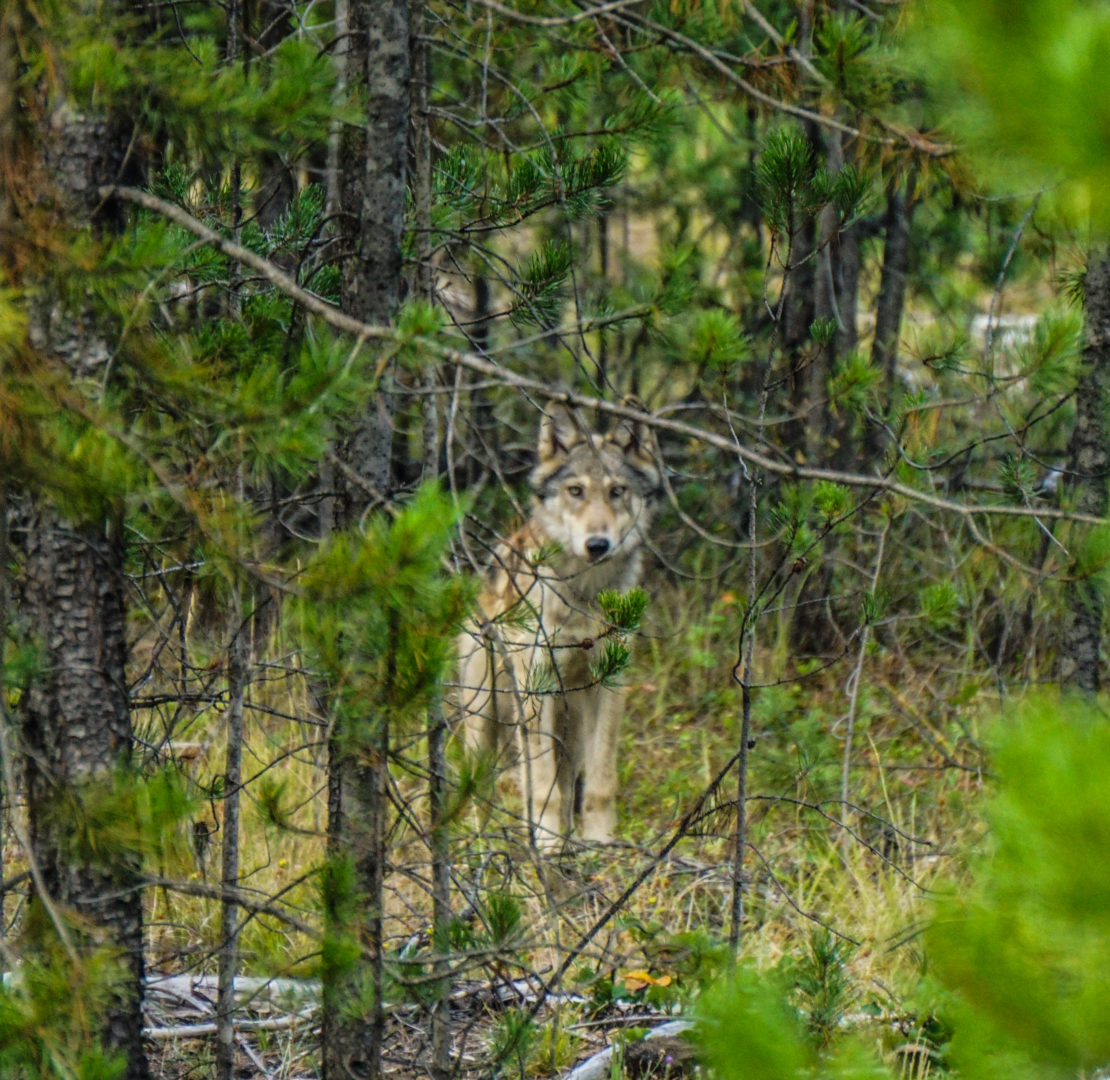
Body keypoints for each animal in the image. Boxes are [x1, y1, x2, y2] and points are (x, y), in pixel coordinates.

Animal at [457, 402, 661, 846]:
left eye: (617, 491)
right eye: (576, 491)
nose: (597, 545)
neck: (583, 594)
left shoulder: (610, 682)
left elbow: (599, 784)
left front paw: (600, 844)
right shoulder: (536, 684)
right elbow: (541, 784)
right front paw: (547, 846)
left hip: (573, 730)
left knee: (569, 785)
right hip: (483, 719)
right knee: (479, 797)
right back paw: (478, 850)